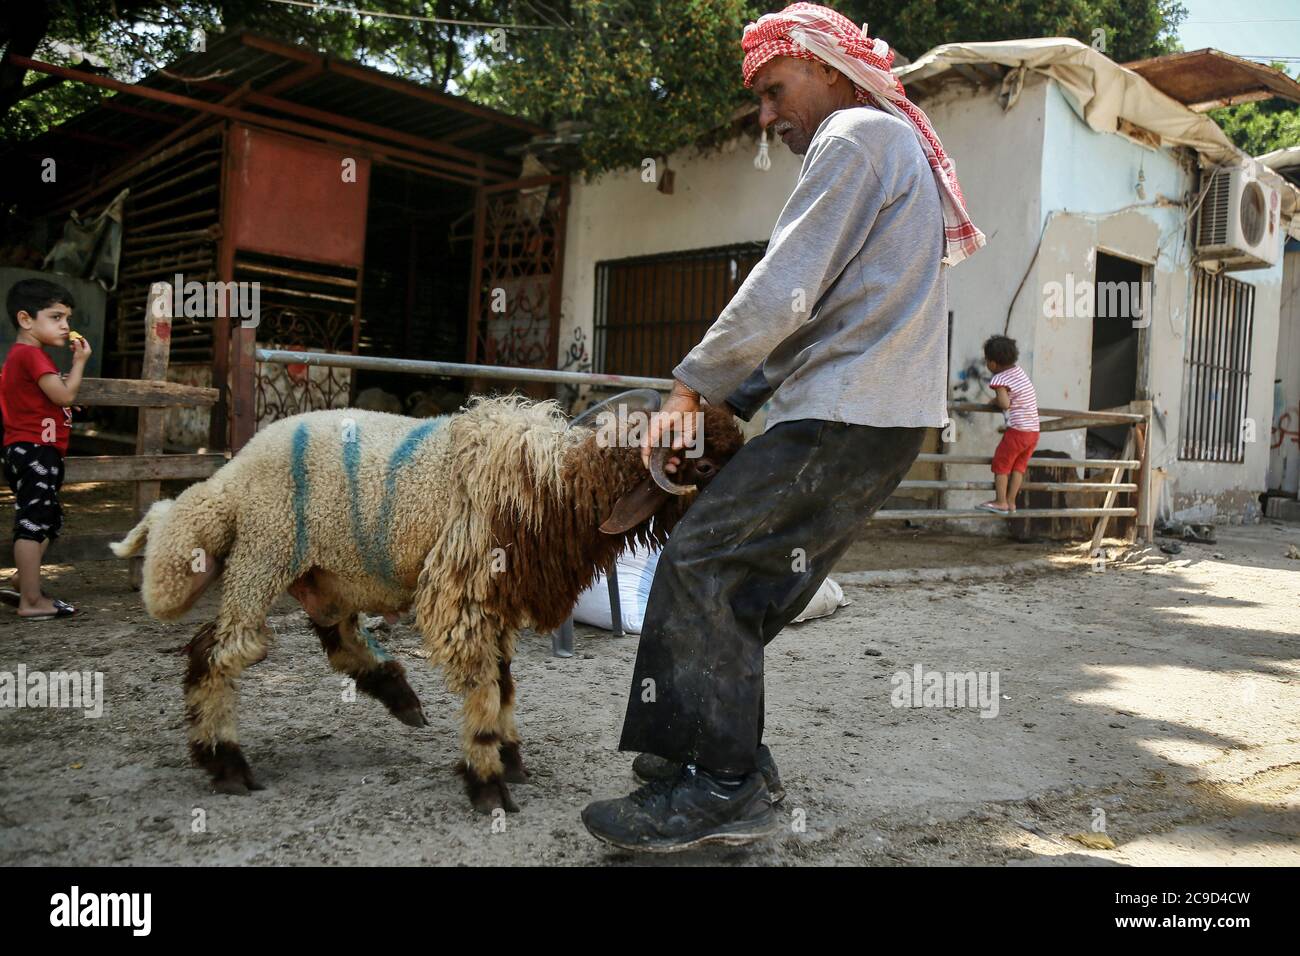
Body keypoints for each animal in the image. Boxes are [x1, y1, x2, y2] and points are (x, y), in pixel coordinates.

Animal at [111, 395, 743, 813]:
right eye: (706, 466)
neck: (557, 488)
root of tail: (229, 477)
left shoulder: (495, 603)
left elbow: (505, 683)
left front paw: (510, 757)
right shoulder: (459, 593)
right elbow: (485, 687)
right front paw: (488, 784)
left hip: (325, 573)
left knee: (334, 639)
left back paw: (399, 695)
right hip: (265, 556)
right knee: (218, 653)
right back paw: (226, 763)